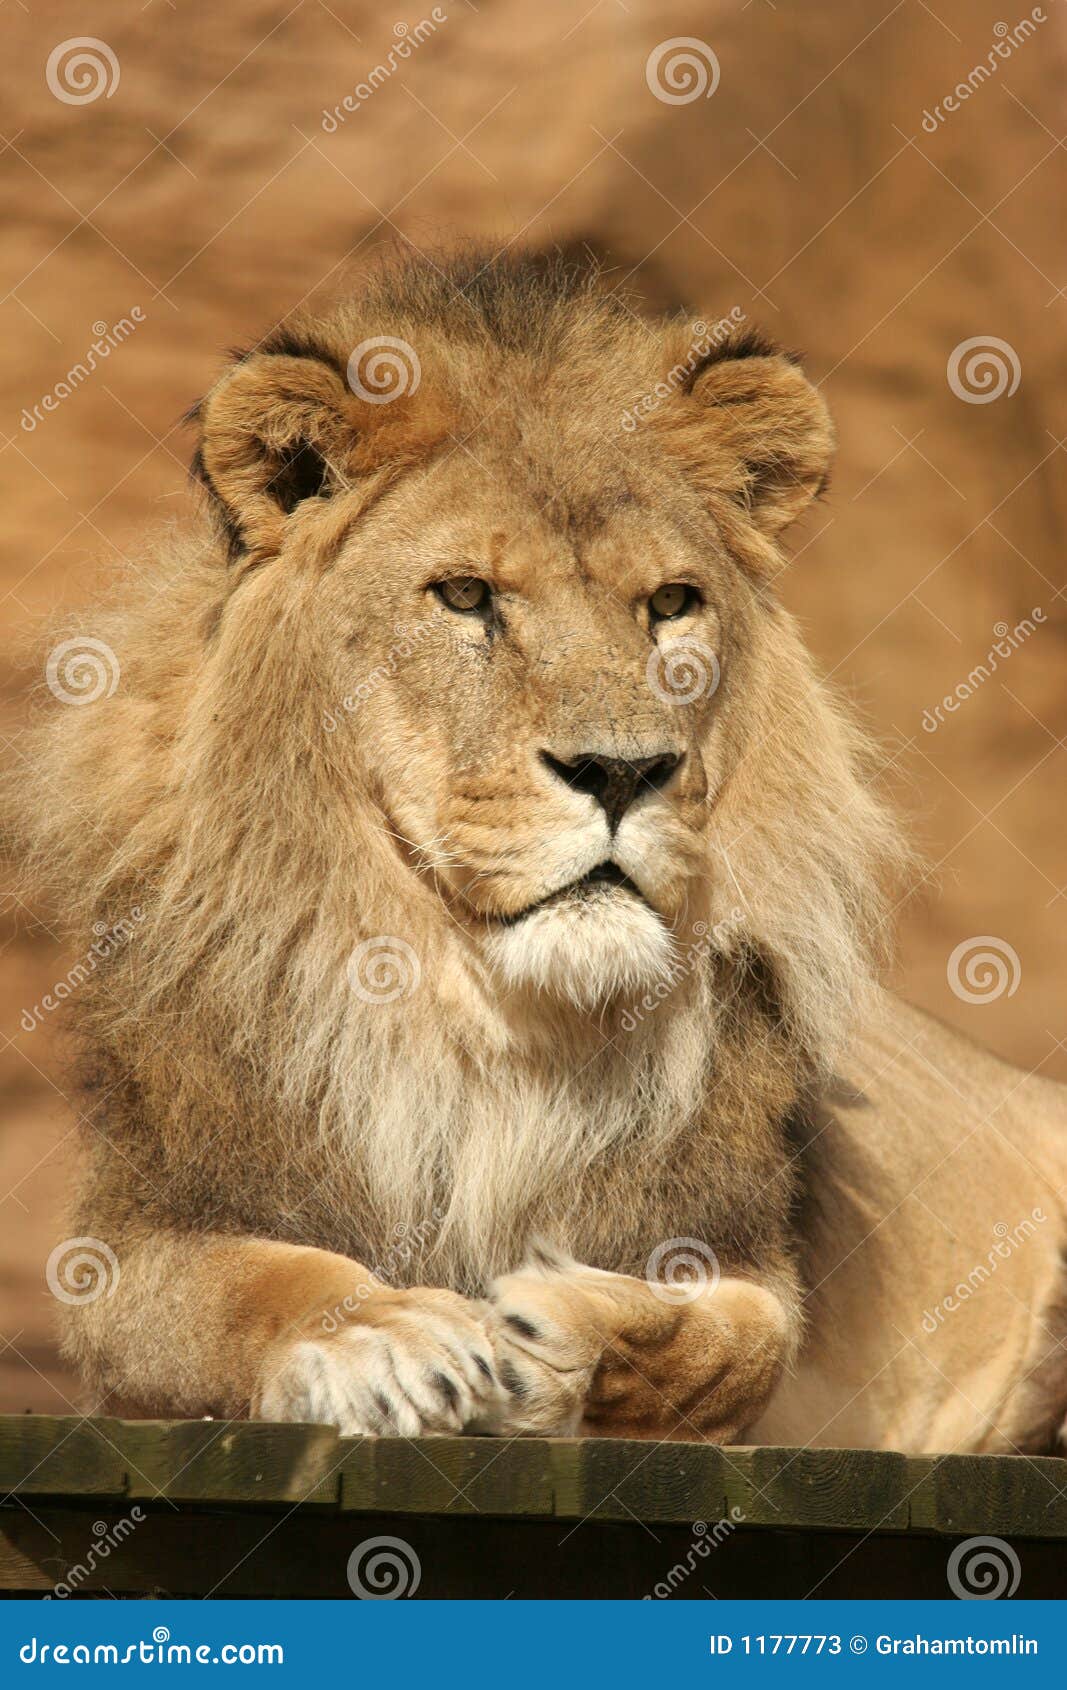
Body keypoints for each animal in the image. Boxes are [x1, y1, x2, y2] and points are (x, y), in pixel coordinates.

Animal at [11, 250, 1067, 1453]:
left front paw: (554, 1336)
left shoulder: (740, 1253)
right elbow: (250, 1287)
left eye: (670, 603)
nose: (620, 771)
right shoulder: (134, 1239)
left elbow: (733, 1342)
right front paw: (379, 1335)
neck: (495, 1025)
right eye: (467, 595)